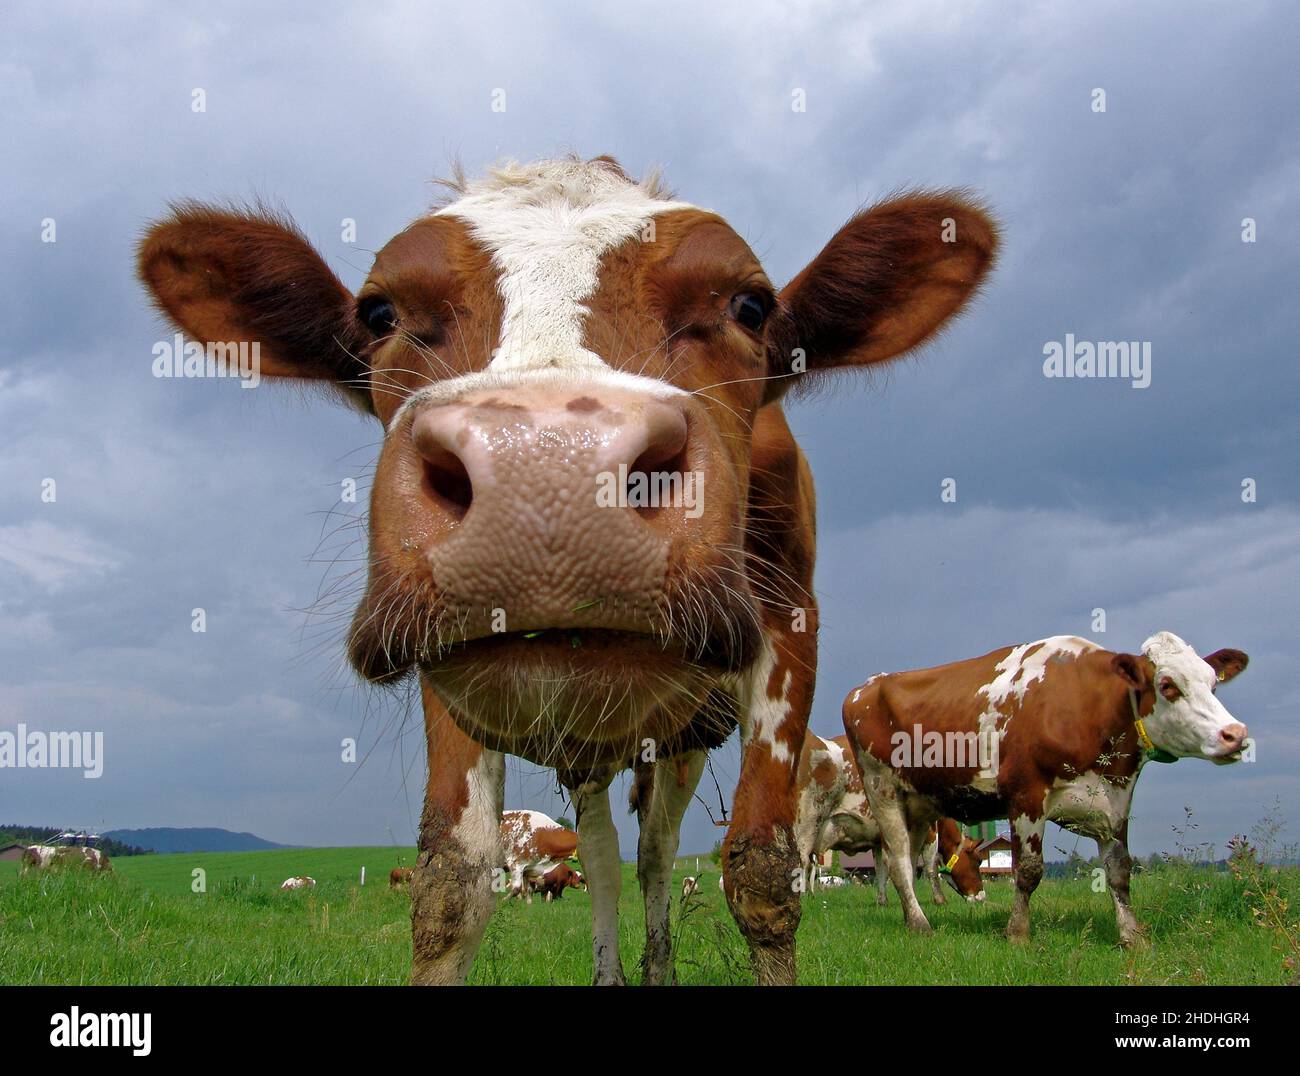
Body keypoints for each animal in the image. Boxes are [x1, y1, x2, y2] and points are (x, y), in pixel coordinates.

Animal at [794, 732, 983, 906]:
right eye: (978, 860)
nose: (981, 896)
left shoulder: (879, 839)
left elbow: (882, 870)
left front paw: (882, 901)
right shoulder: (930, 830)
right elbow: (929, 865)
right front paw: (939, 899)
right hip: (807, 822)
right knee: (802, 861)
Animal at [844, 632, 1250, 945]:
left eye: (1214, 684)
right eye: (1167, 686)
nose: (1235, 734)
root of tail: (864, 688)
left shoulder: (1117, 801)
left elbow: (1119, 871)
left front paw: (1133, 937)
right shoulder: (1025, 794)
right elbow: (1028, 871)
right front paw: (1017, 933)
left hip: (919, 804)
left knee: (908, 861)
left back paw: (911, 917)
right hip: (881, 789)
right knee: (899, 861)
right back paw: (920, 925)